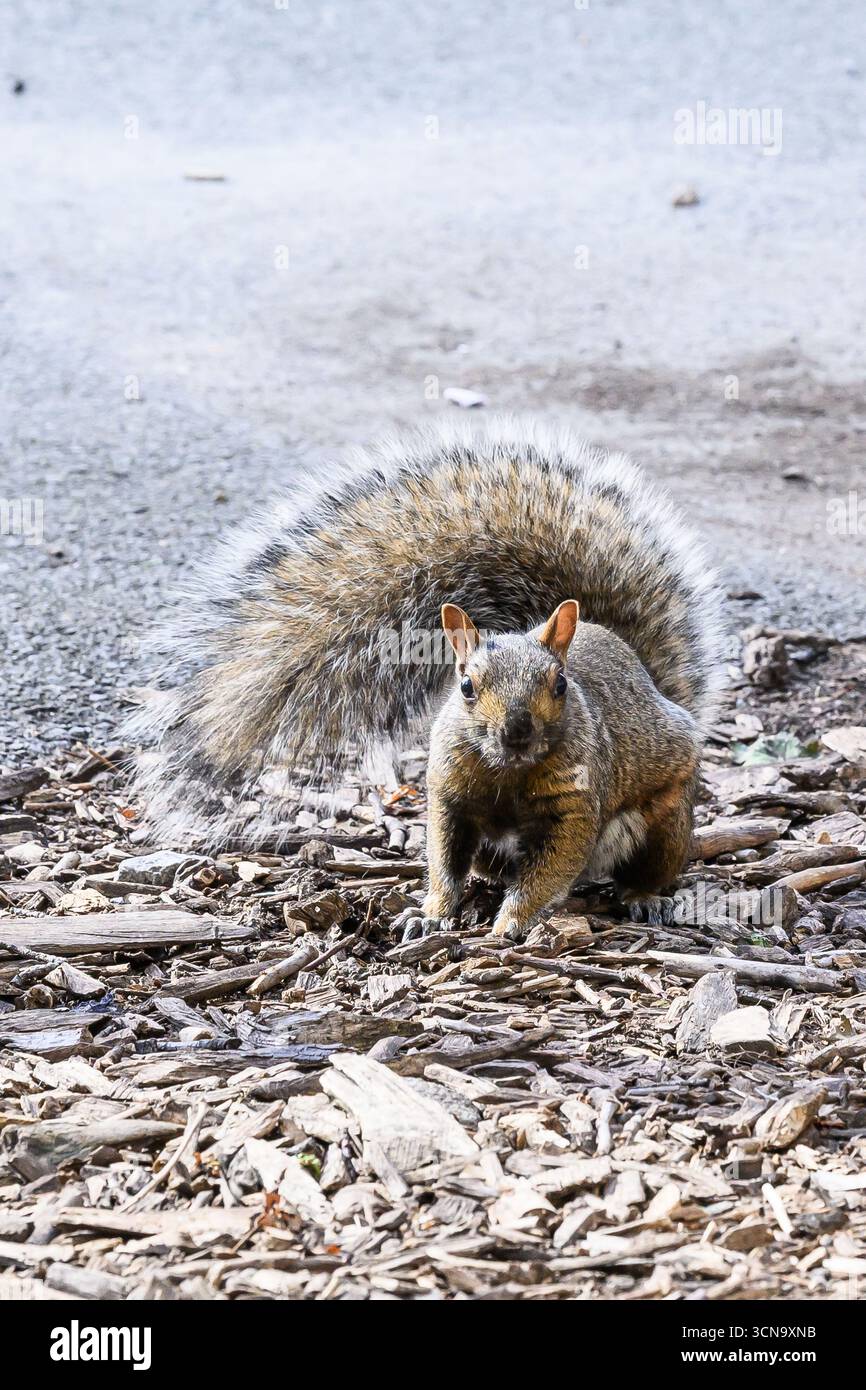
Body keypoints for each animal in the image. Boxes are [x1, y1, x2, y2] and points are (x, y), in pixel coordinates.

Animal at [129, 419, 724, 939]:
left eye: (559, 685)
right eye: (465, 687)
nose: (516, 732)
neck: (509, 772)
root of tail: (651, 684)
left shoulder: (575, 802)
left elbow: (551, 868)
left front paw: (512, 923)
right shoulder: (450, 792)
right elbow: (443, 856)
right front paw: (432, 914)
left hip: (668, 816)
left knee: (652, 866)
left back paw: (644, 897)